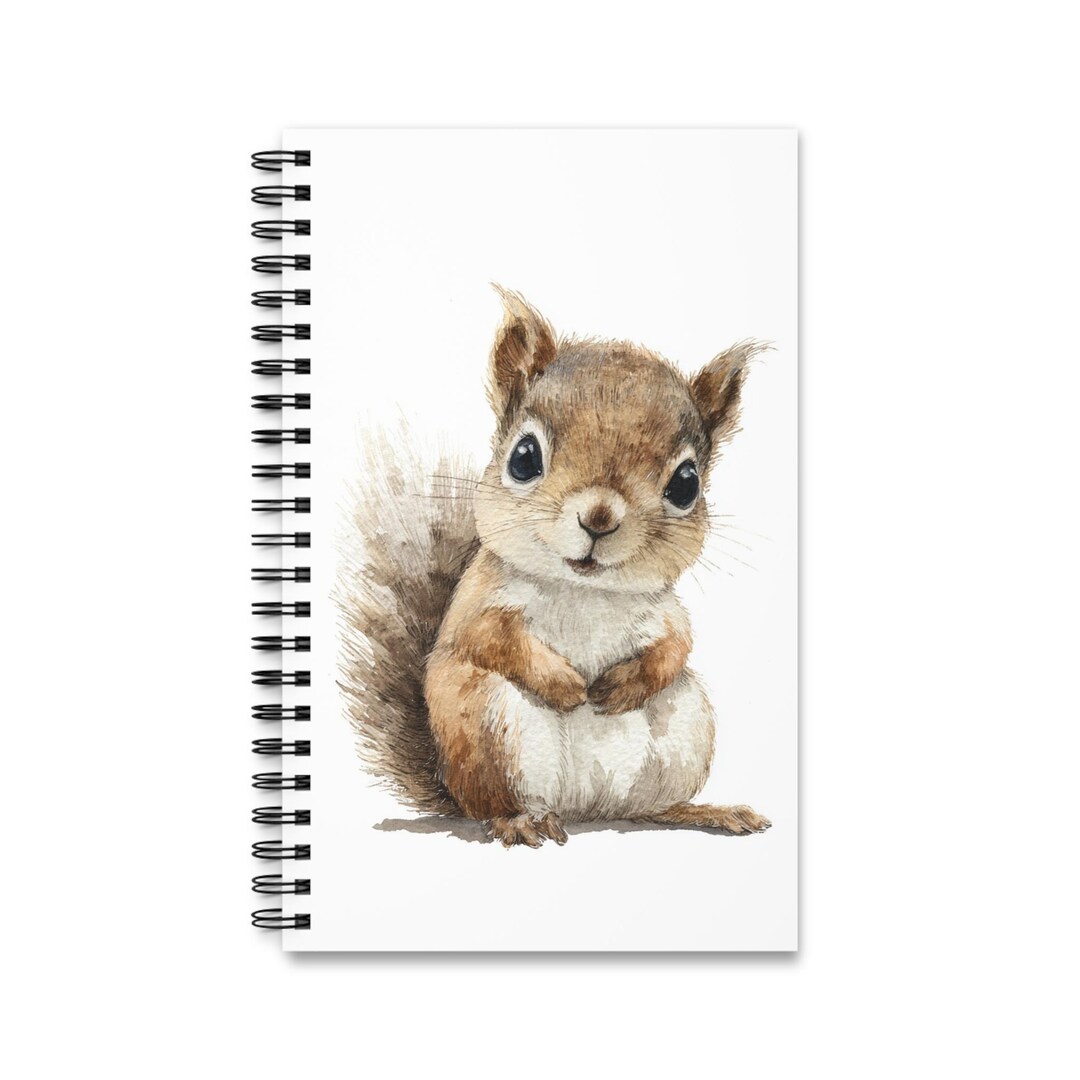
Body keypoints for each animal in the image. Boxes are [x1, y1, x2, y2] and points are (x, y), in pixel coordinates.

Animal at [338, 288, 771, 847]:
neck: (584, 590)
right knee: (493, 804)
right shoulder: (477, 601)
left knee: (650, 805)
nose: (599, 518)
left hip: (687, 728)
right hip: (489, 727)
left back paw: (705, 811)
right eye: (524, 457)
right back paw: (520, 821)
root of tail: (583, 809)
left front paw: (618, 687)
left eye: (686, 484)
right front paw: (567, 685)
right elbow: (488, 638)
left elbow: (675, 647)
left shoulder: (665, 612)